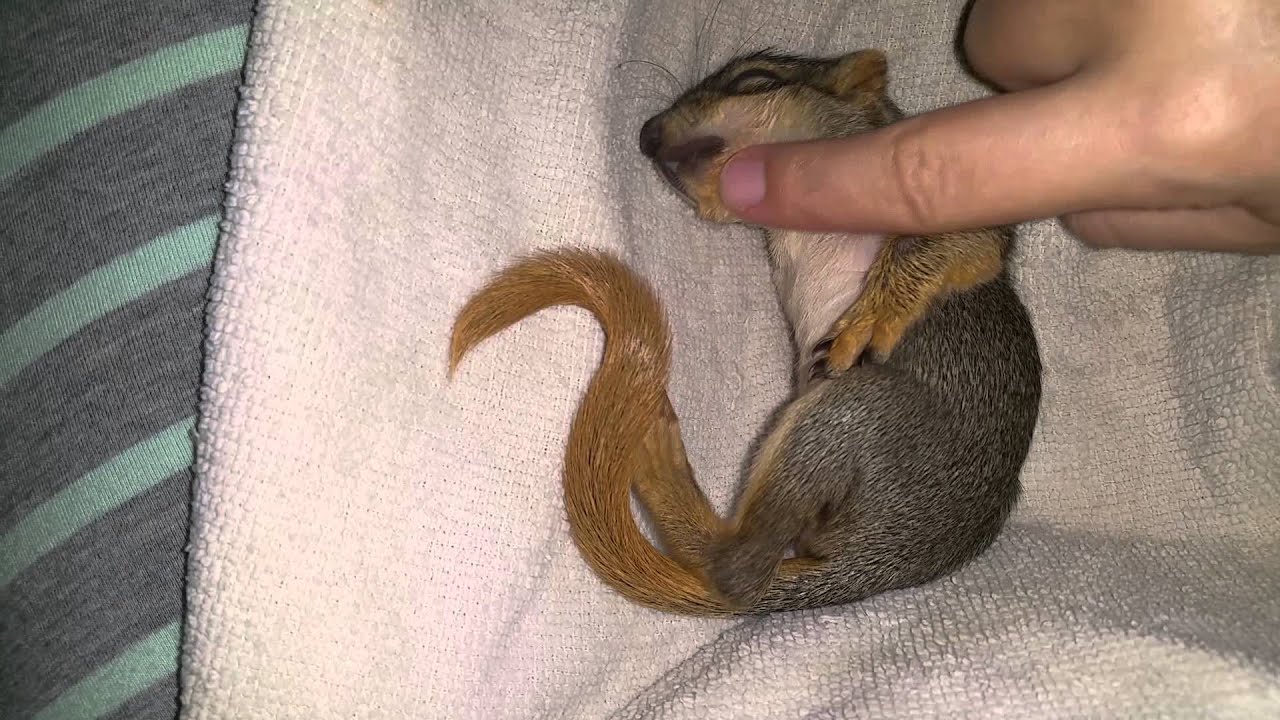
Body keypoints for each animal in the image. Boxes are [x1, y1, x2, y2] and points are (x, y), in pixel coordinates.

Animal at [448, 49, 1043, 615]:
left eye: (756, 80)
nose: (648, 135)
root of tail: (890, 558)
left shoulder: (959, 227)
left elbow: (950, 245)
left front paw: (869, 318)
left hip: (860, 412)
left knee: (738, 568)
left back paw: (663, 464)